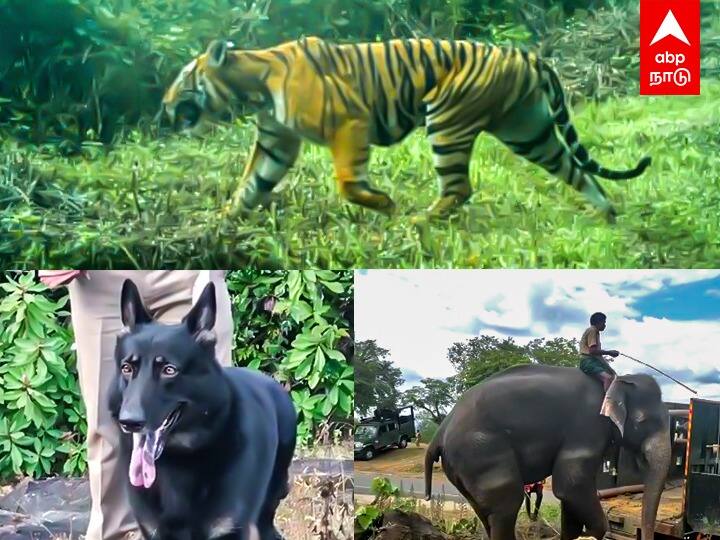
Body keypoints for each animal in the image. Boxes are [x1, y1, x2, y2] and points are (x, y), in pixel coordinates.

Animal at [162, 36, 651, 221]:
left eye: (183, 77)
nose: (164, 108)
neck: (254, 91)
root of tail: (524, 54)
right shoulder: (276, 140)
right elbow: (250, 185)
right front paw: (221, 224)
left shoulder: (350, 123)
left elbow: (347, 181)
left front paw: (384, 204)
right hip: (528, 131)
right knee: (577, 170)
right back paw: (608, 215)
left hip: (447, 121)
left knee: (459, 188)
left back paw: (419, 220)